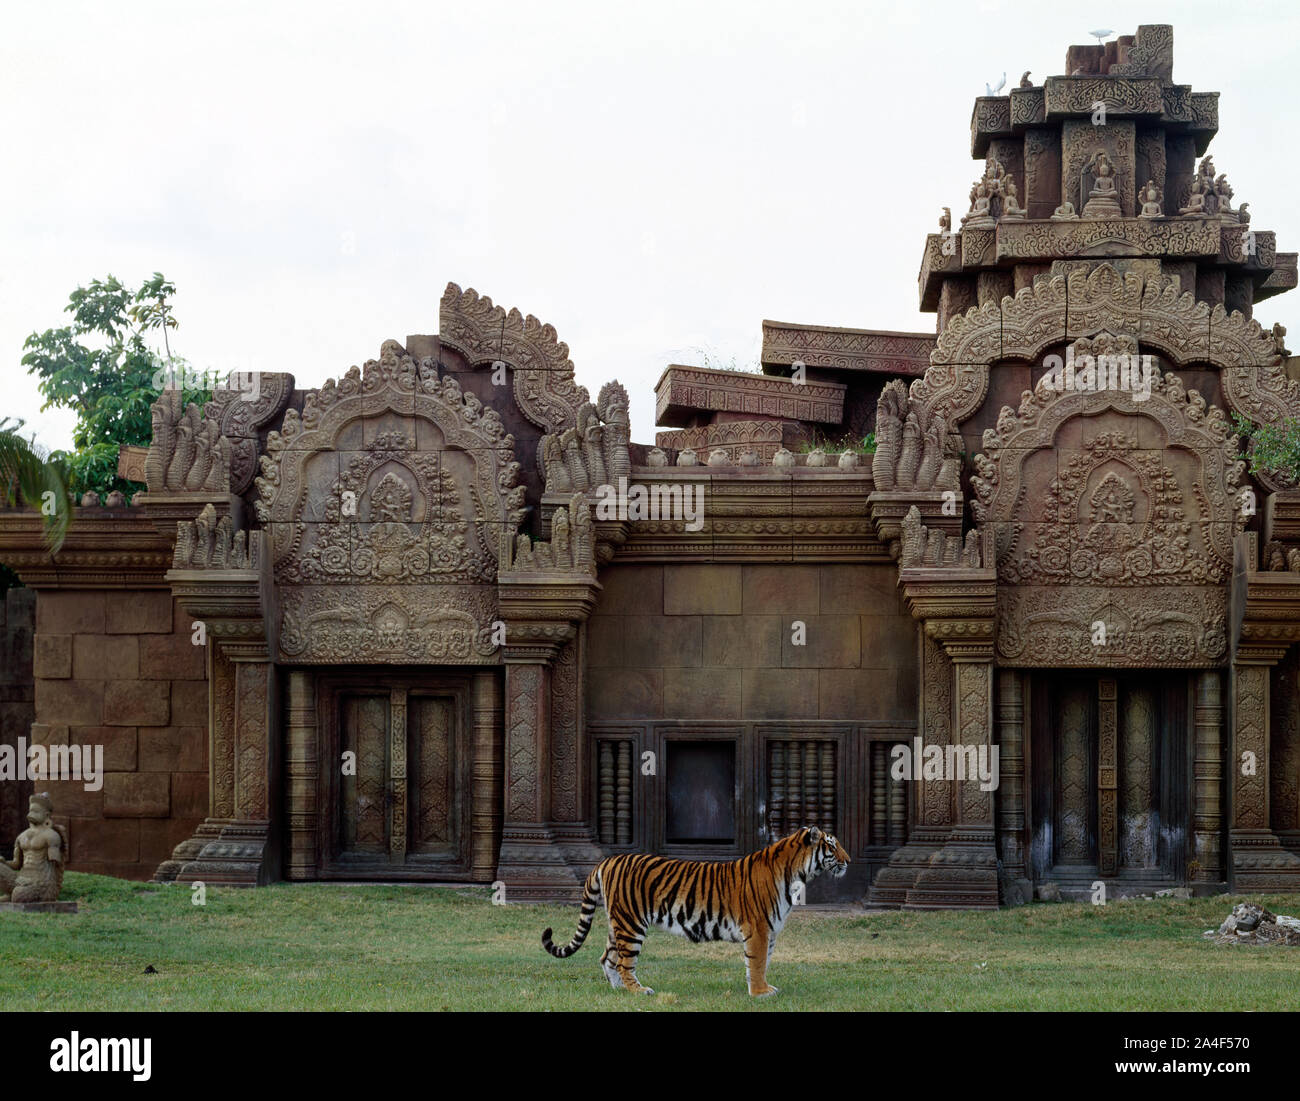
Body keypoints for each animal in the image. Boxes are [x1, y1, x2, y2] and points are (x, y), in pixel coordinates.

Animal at [541, 826, 849, 996]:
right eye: (832, 845)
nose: (848, 860)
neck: (796, 874)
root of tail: (607, 860)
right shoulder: (759, 929)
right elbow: (758, 962)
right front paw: (761, 993)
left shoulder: (770, 931)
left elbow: (759, 963)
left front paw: (761, 988)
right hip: (631, 925)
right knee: (623, 962)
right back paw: (640, 991)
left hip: (617, 923)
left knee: (607, 957)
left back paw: (619, 991)